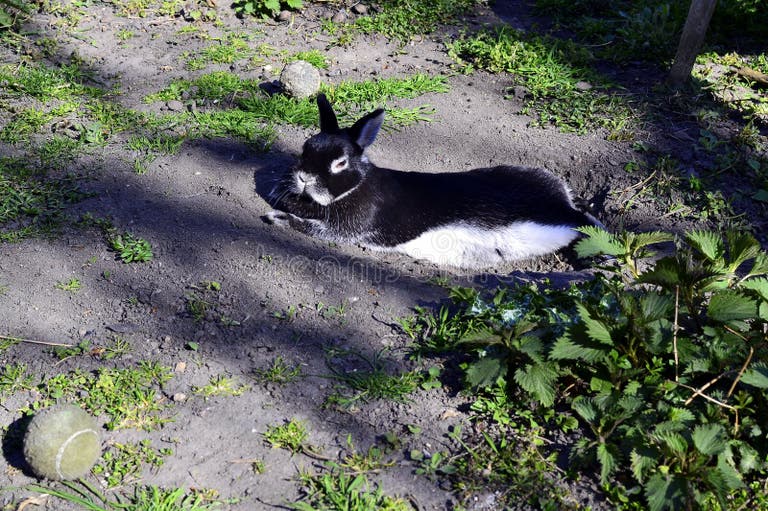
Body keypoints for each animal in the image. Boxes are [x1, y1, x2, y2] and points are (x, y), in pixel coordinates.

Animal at [265, 94, 603, 269]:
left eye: (340, 163)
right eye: (307, 146)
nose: (304, 177)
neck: (356, 185)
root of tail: (564, 208)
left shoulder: (344, 229)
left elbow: (310, 226)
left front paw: (276, 216)